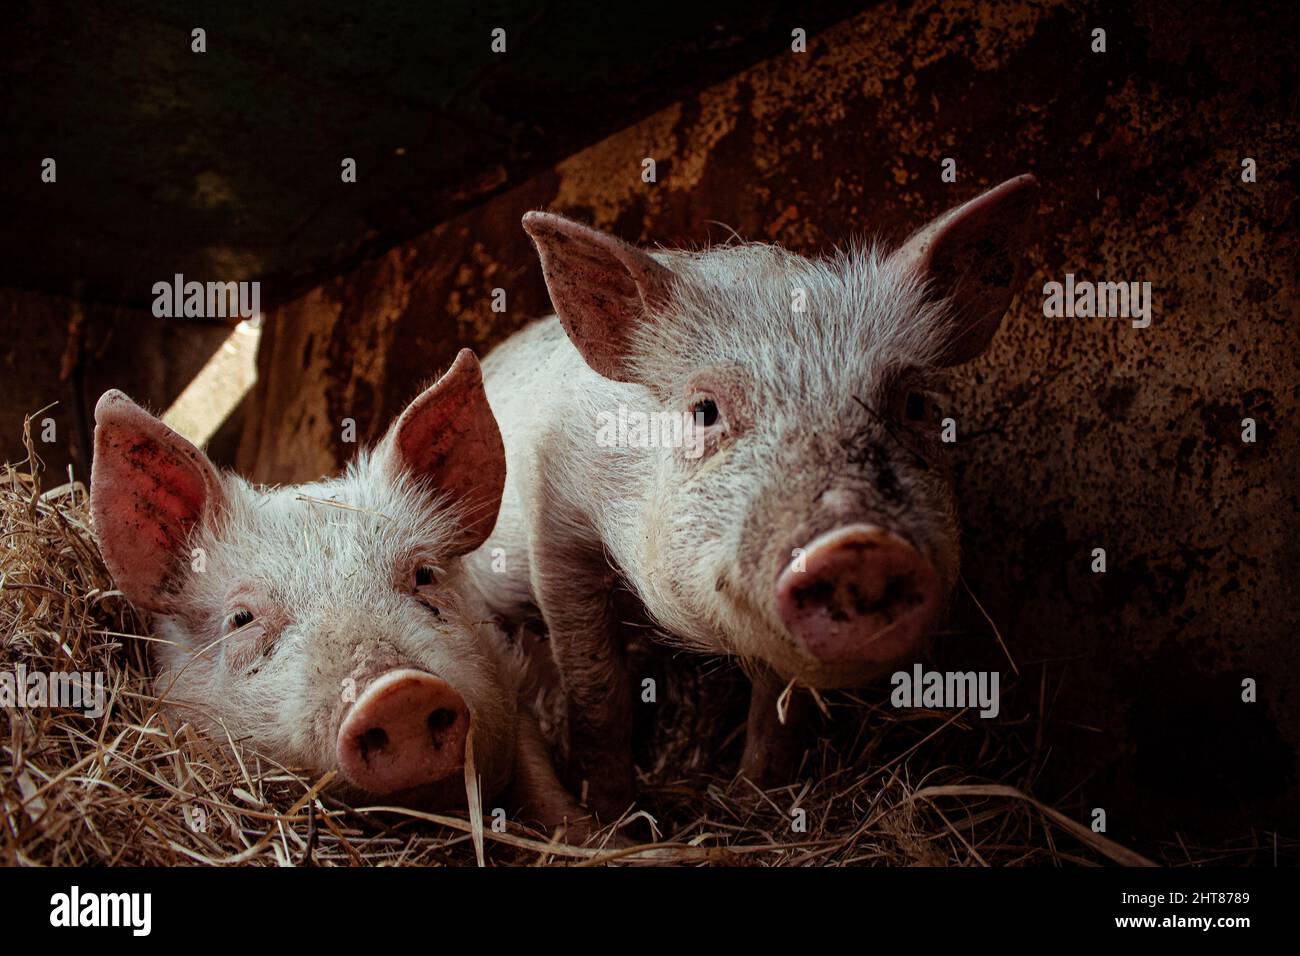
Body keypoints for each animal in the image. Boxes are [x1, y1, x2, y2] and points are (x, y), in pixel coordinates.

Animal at [466, 175, 1040, 818]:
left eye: (915, 404)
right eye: (705, 410)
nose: (858, 543)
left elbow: (778, 705)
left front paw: (755, 804)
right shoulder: (556, 520)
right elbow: (596, 685)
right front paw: (619, 817)